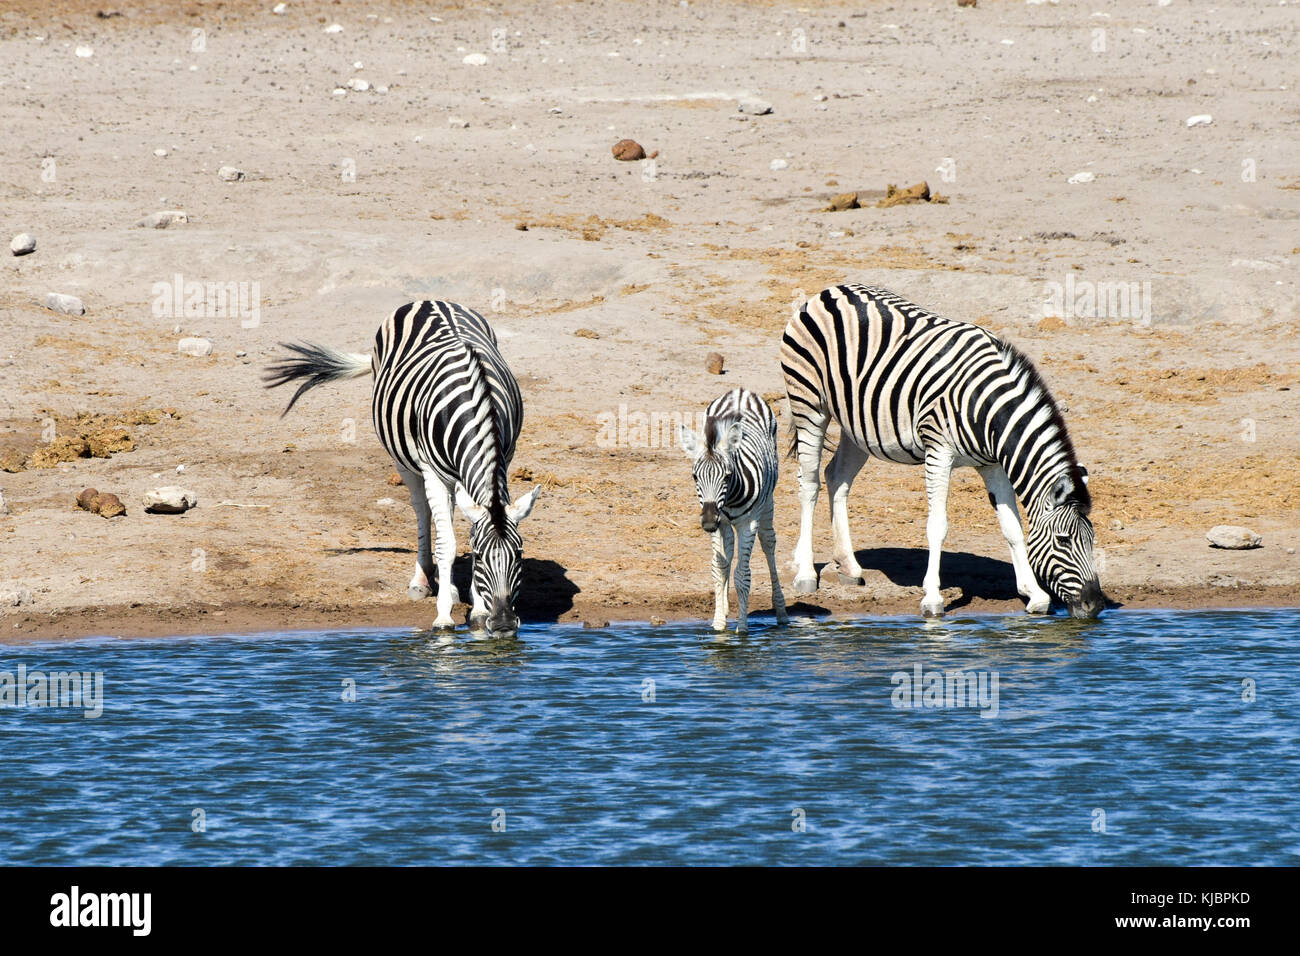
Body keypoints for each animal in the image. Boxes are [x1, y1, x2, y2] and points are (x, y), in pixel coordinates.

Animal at [264, 300, 541, 638]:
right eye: (478, 557)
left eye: (520, 555)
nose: (503, 625)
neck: (475, 403)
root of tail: (430, 300)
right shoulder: (431, 470)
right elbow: (446, 544)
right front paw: (444, 616)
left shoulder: (505, 455)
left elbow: (469, 528)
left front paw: (476, 611)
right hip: (403, 457)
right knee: (423, 510)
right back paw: (424, 581)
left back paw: (448, 586)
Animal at [679, 388, 789, 633]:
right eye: (695, 477)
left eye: (727, 476)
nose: (709, 522)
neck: (729, 499)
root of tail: (740, 391)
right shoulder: (720, 521)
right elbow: (719, 567)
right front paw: (719, 624)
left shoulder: (748, 522)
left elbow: (742, 574)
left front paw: (742, 629)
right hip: (726, 524)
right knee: (728, 552)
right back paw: (725, 606)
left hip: (767, 503)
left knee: (768, 542)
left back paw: (781, 611)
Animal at [780, 283, 1105, 619]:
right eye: (1063, 540)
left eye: (1092, 538)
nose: (1095, 605)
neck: (987, 408)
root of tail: (830, 290)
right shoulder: (938, 452)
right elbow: (938, 526)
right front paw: (933, 598)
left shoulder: (992, 464)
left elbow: (1012, 528)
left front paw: (1035, 594)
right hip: (810, 405)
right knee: (809, 484)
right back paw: (805, 573)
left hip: (858, 425)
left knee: (837, 477)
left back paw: (848, 566)